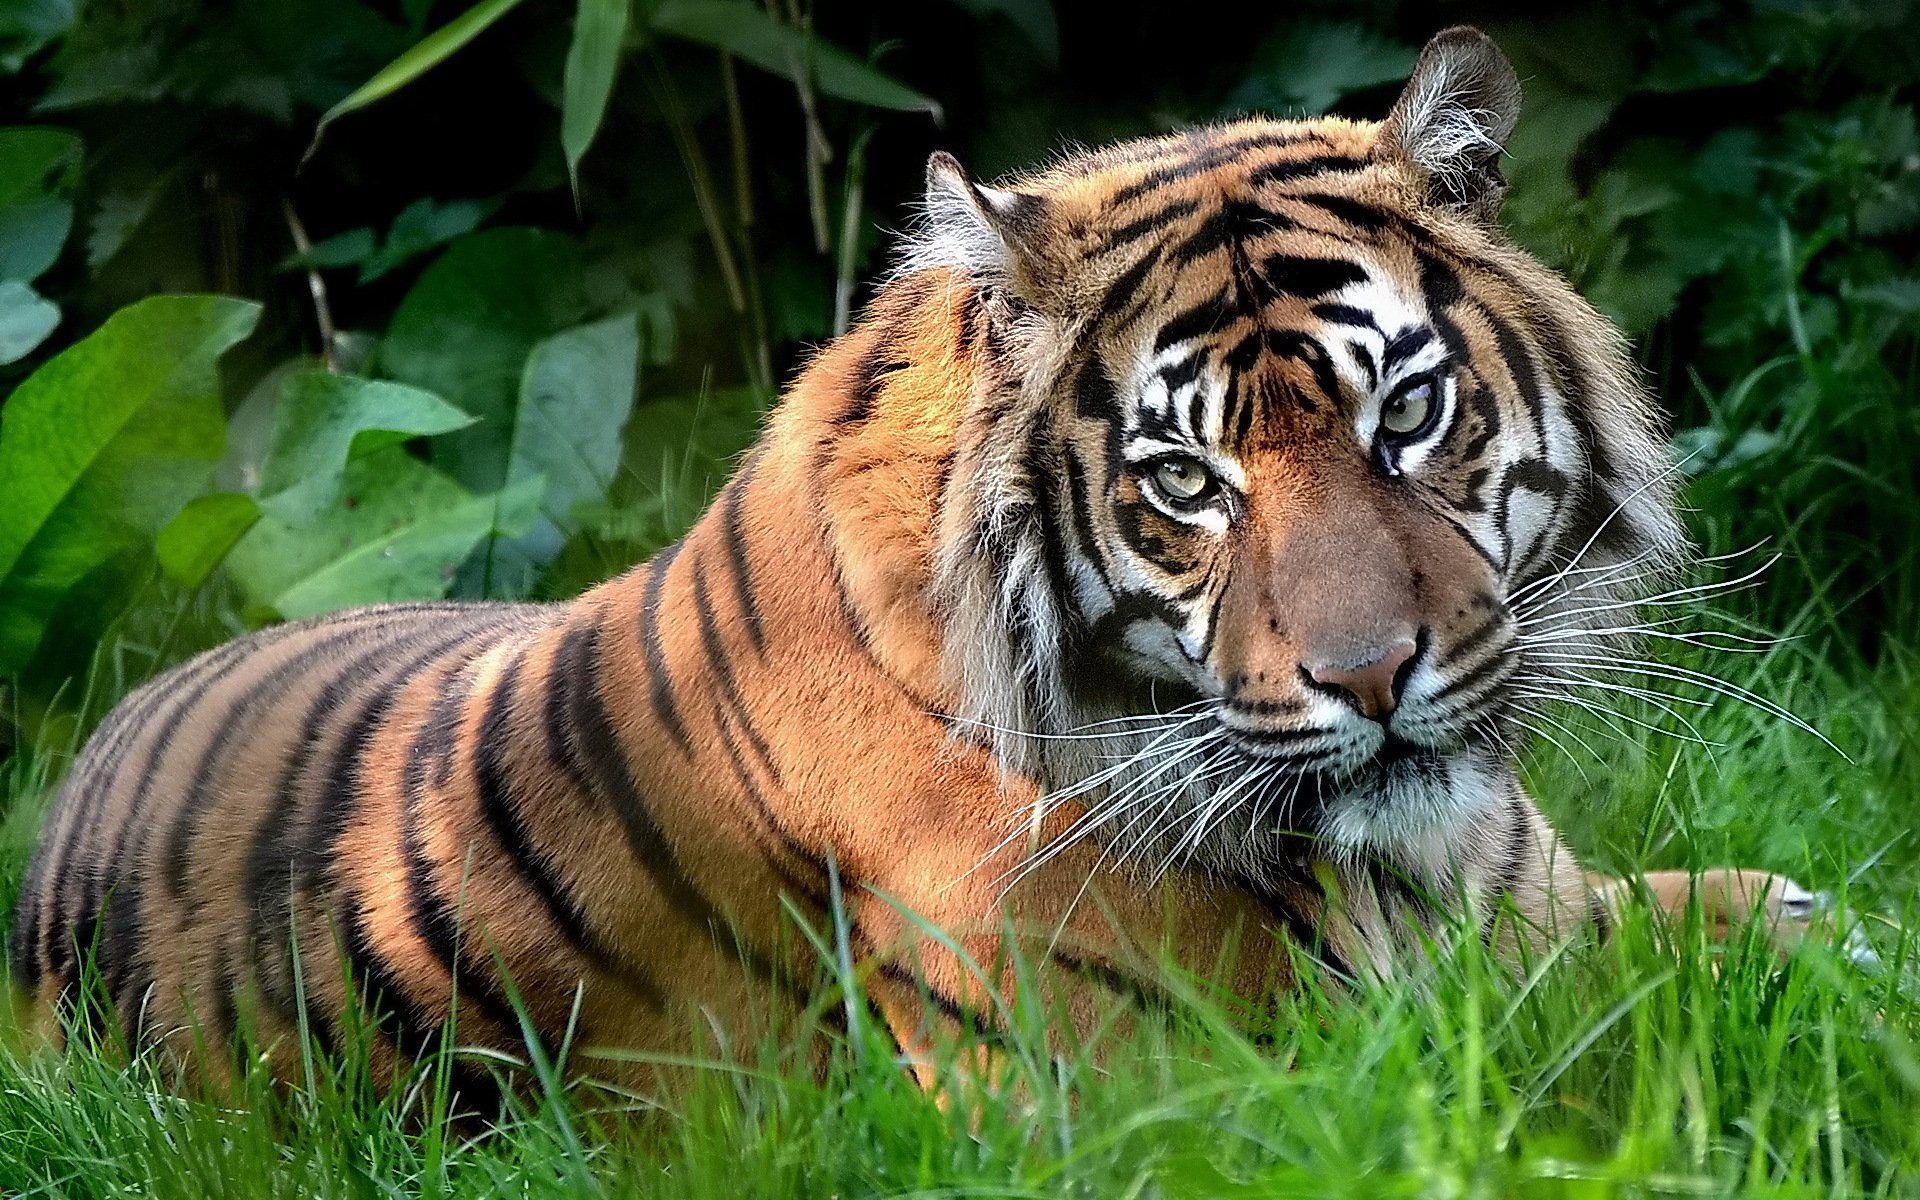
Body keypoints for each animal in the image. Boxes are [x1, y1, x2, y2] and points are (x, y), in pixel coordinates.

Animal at [8, 27, 1833, 1102]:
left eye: (1410, 411)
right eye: (1186, 482)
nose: (1373, 678)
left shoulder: (1549, 919)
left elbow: (1780, 917)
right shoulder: (1176, 1086)